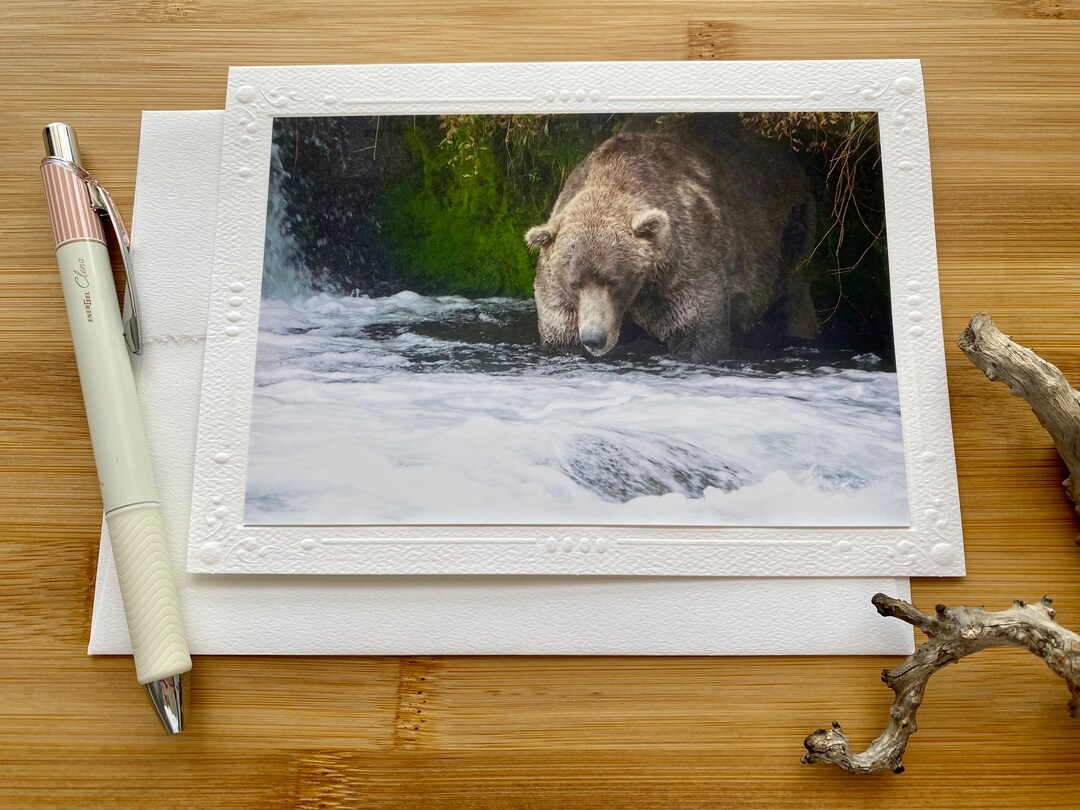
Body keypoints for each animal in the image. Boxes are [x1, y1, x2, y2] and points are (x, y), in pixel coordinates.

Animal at [524, 119, 818, 364]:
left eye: (614, 281)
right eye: (574, 283)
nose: (594, 338)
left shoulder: (683, 261)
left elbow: (697, 331)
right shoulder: (558, 290)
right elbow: (561, 334)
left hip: (786, 232)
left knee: (792, 298)